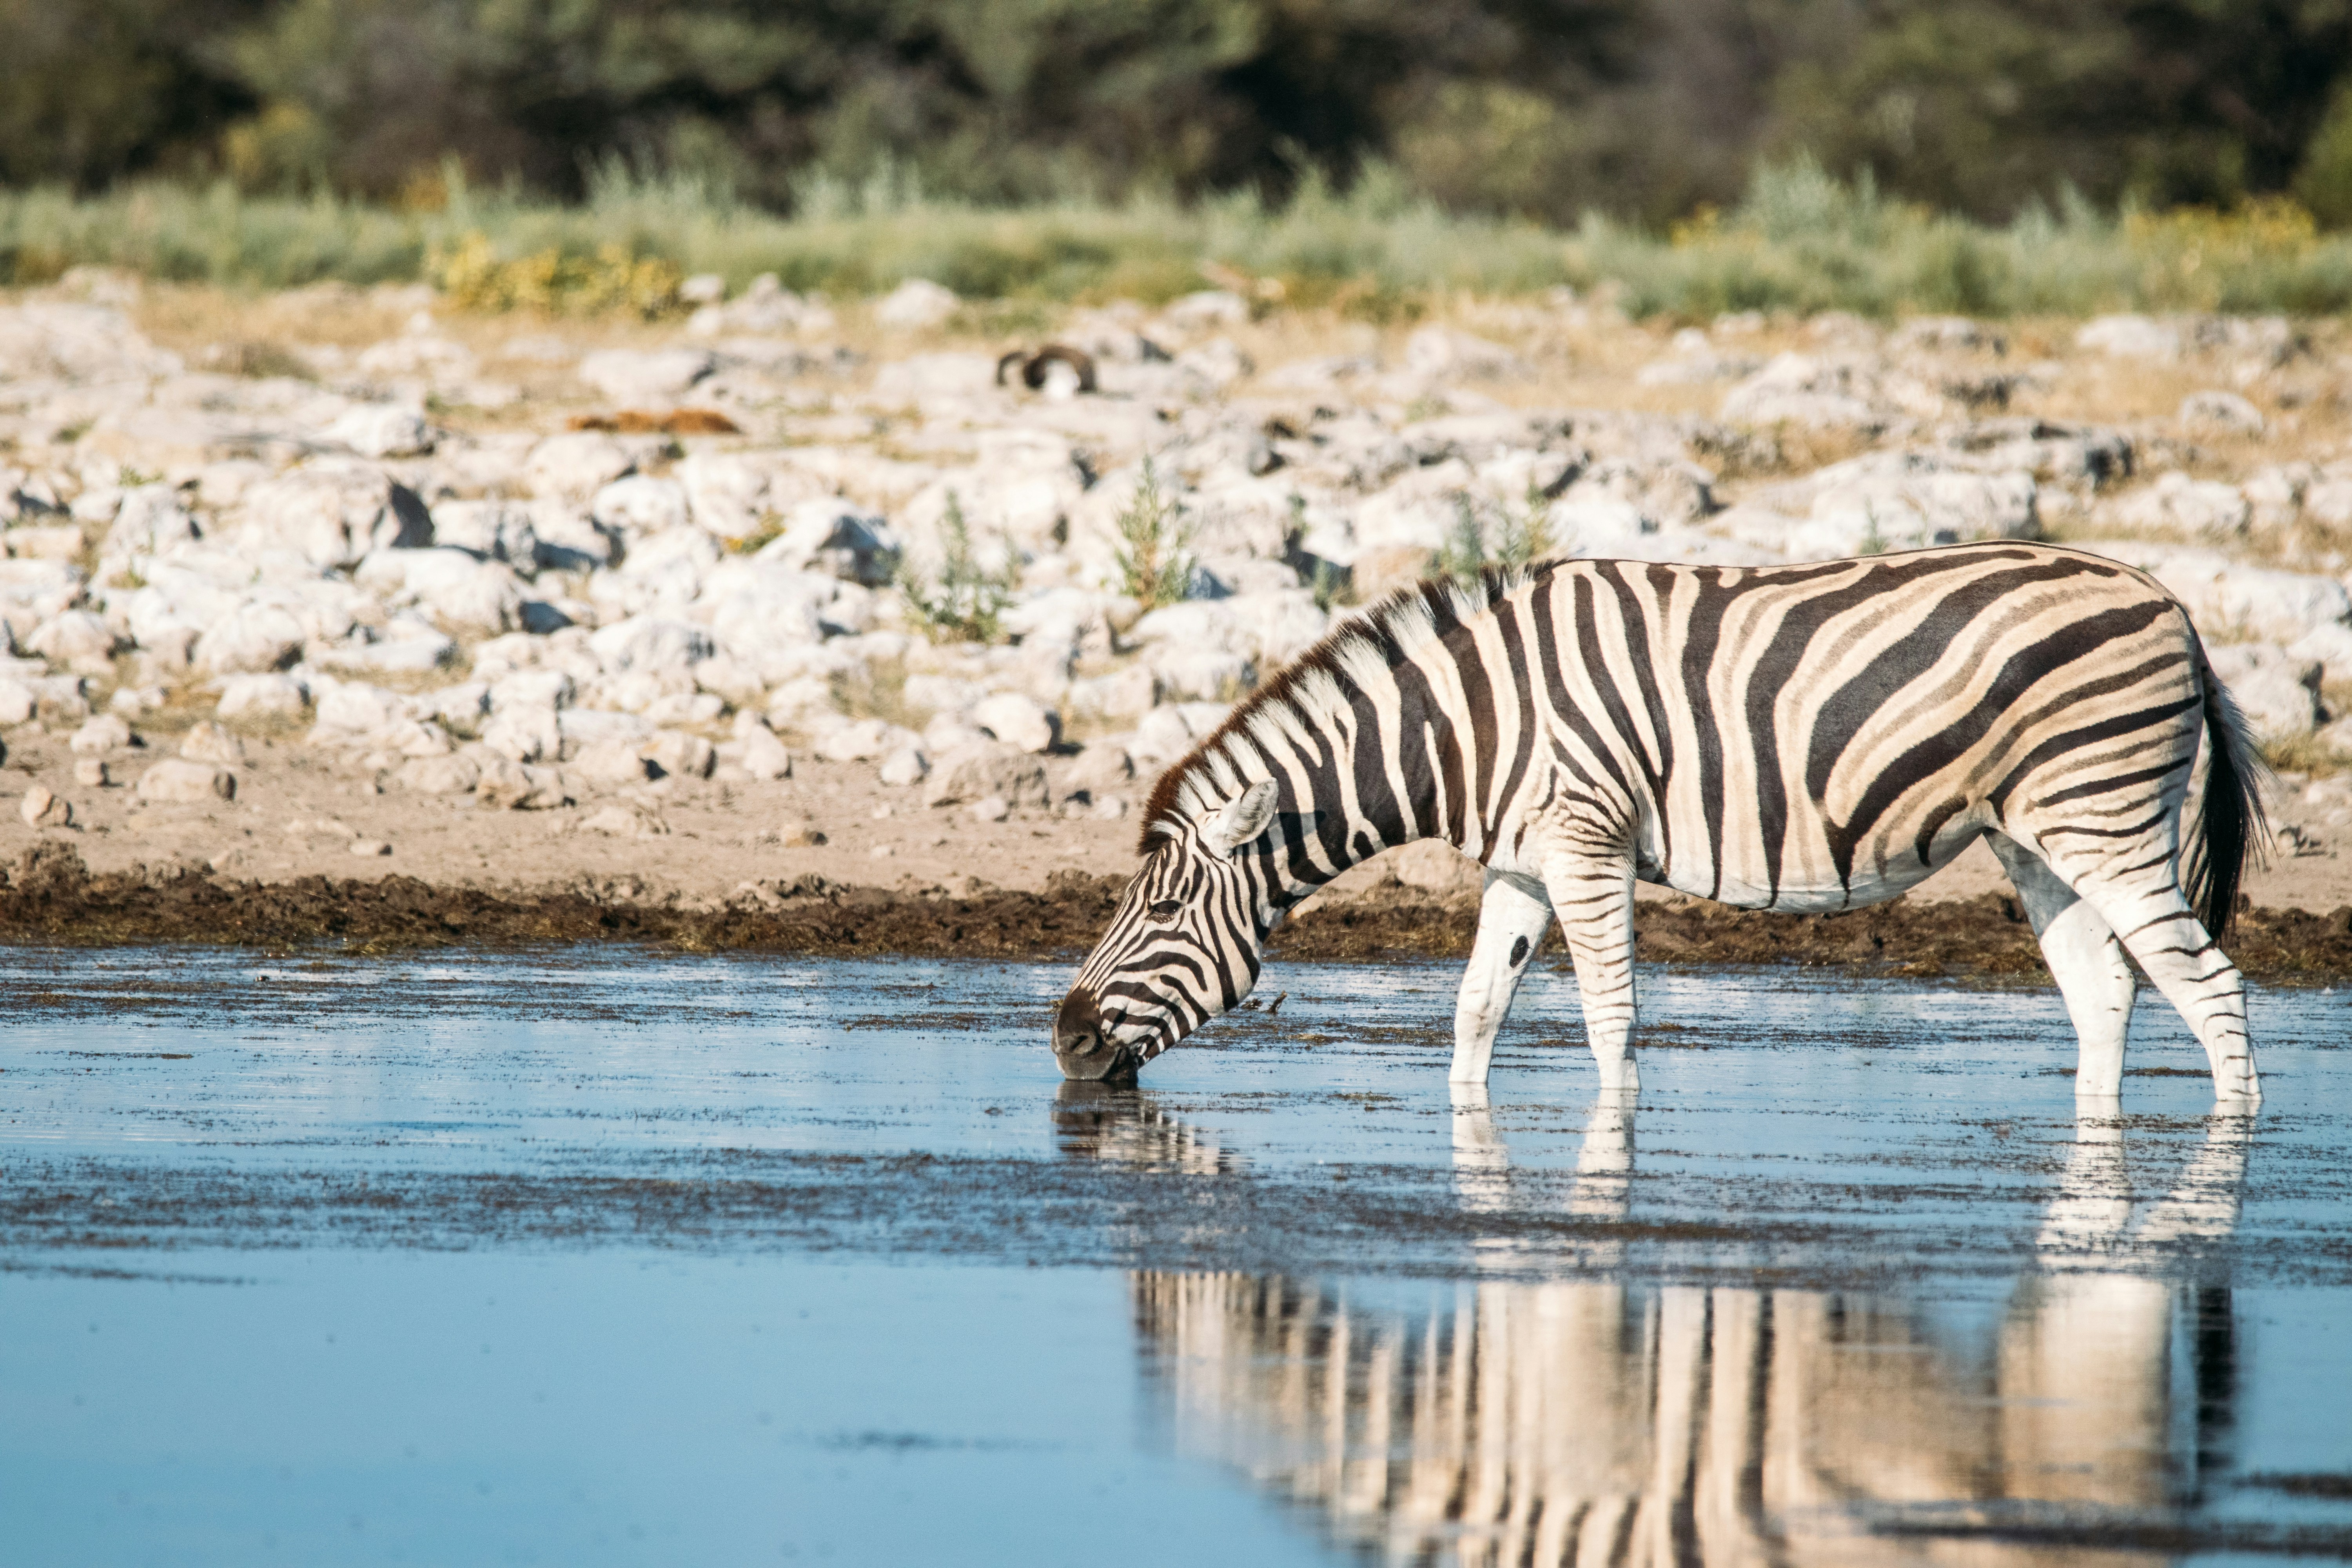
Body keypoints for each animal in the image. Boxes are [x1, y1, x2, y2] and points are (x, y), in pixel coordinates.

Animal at [1053, 541, 2269, 1106]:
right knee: (2107, 993)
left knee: (2209, 986)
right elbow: (1477, 1011)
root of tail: (2170, 601)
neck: (1464, 726)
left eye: (1162, 911)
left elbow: (1609, 1018)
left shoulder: (1588, 846)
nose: (1062, 1041)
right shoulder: (1522, 866)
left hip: (2106, 816)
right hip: (2038, 838)